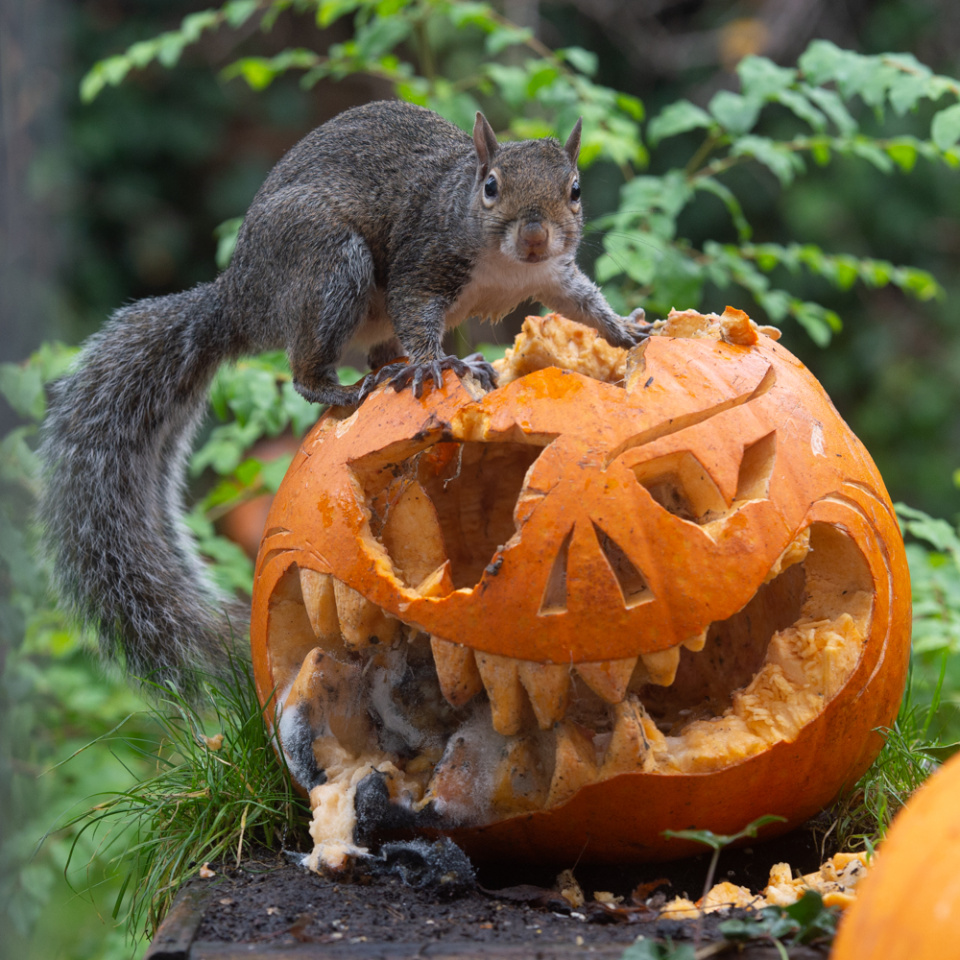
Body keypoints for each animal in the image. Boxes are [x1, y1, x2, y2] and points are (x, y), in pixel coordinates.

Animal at [38, 99, 649, 697]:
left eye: (574, 189)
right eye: (492, 186)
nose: (535, 237)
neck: (502, 262)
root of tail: (239, 299)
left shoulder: (554, 276)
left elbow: (584, 305)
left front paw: (628, 332)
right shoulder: (422, 262)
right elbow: (415, 312)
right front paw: (434, 363)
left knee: (378, 355)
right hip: (330, 264)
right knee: (307, 371)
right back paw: (353, 386)